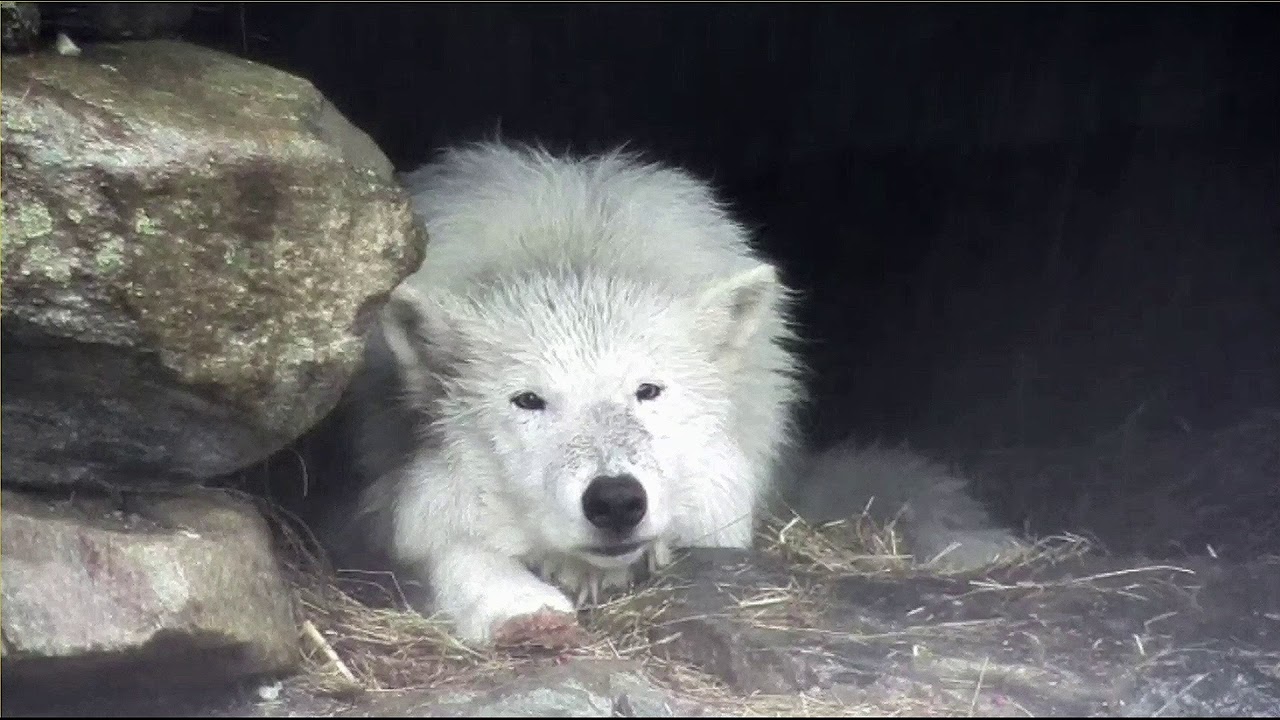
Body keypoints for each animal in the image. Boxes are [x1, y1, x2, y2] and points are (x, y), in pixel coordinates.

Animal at [339, 141, 805, 646]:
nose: (616, 500)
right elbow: (445, 545)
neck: (573, 260)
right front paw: (524, 610)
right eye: (528, 400)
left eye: (647, 390)